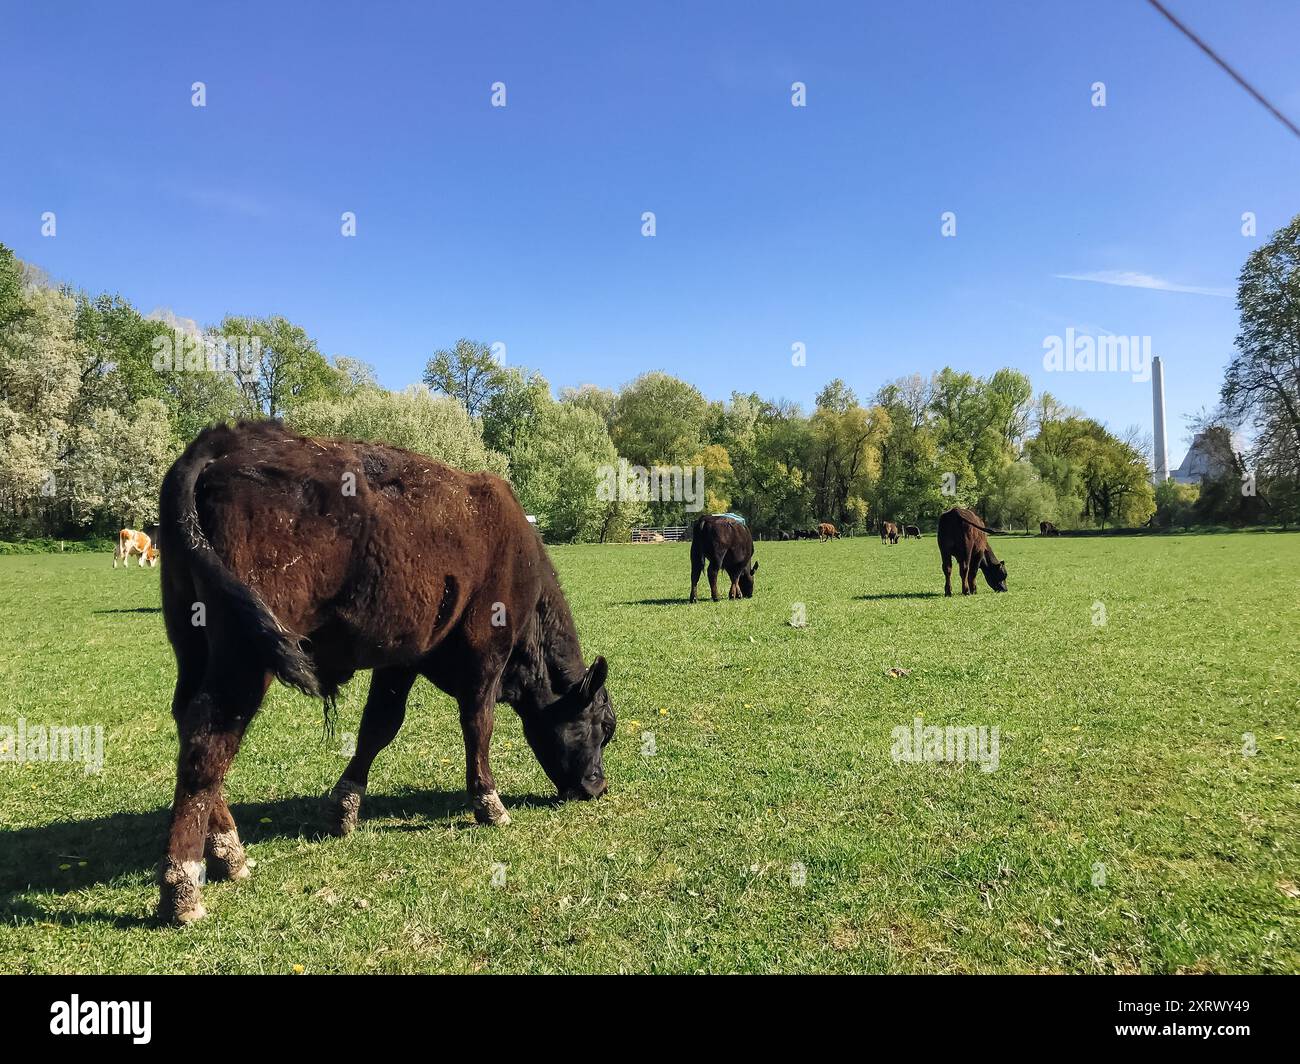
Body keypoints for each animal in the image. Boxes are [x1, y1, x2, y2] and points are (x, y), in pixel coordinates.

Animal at [154, 421, 616, 924]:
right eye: (602, 727)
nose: (597, 786)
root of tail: (222, 443)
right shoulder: (486, 653)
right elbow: (479, 724)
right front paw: (489, 803)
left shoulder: (401, 661)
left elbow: (379, 725)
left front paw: (344, 808)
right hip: (245, 659)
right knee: (210, 739)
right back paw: (183, 887)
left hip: (194, 644)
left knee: (188, 722)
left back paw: (228, 851)